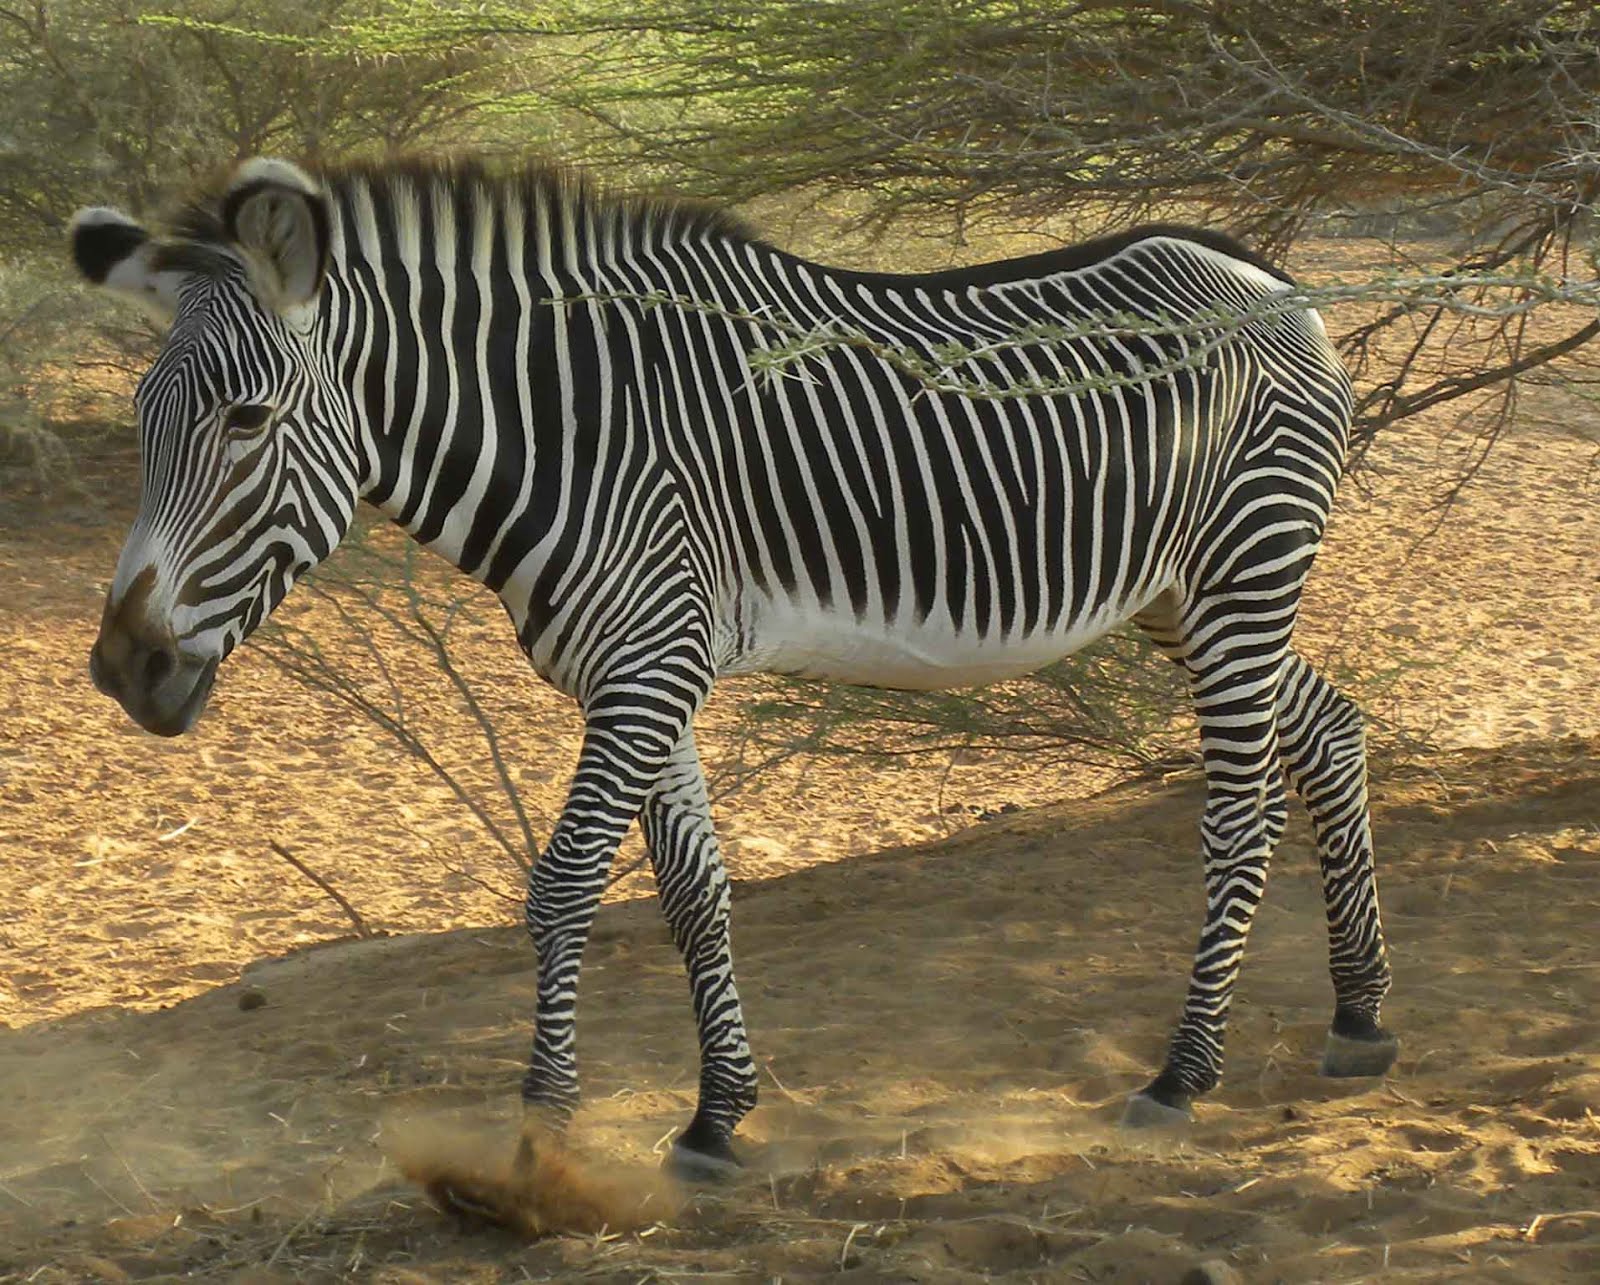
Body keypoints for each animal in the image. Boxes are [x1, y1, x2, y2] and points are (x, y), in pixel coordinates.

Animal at [72, 156, 1398, 1178]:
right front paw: (717, 1118)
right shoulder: (644, 673)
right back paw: (1361, 1014)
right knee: (1331, 727)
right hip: (1187, 596)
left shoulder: (647, 668)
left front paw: (539, 1144)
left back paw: (1184, 1074)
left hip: (1241, 572)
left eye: (247, 421)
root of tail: (1263, 276)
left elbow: (561, 889)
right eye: (141, 418)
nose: (123, 667)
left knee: (1237, 818)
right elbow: (693, 896)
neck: (571, 434)